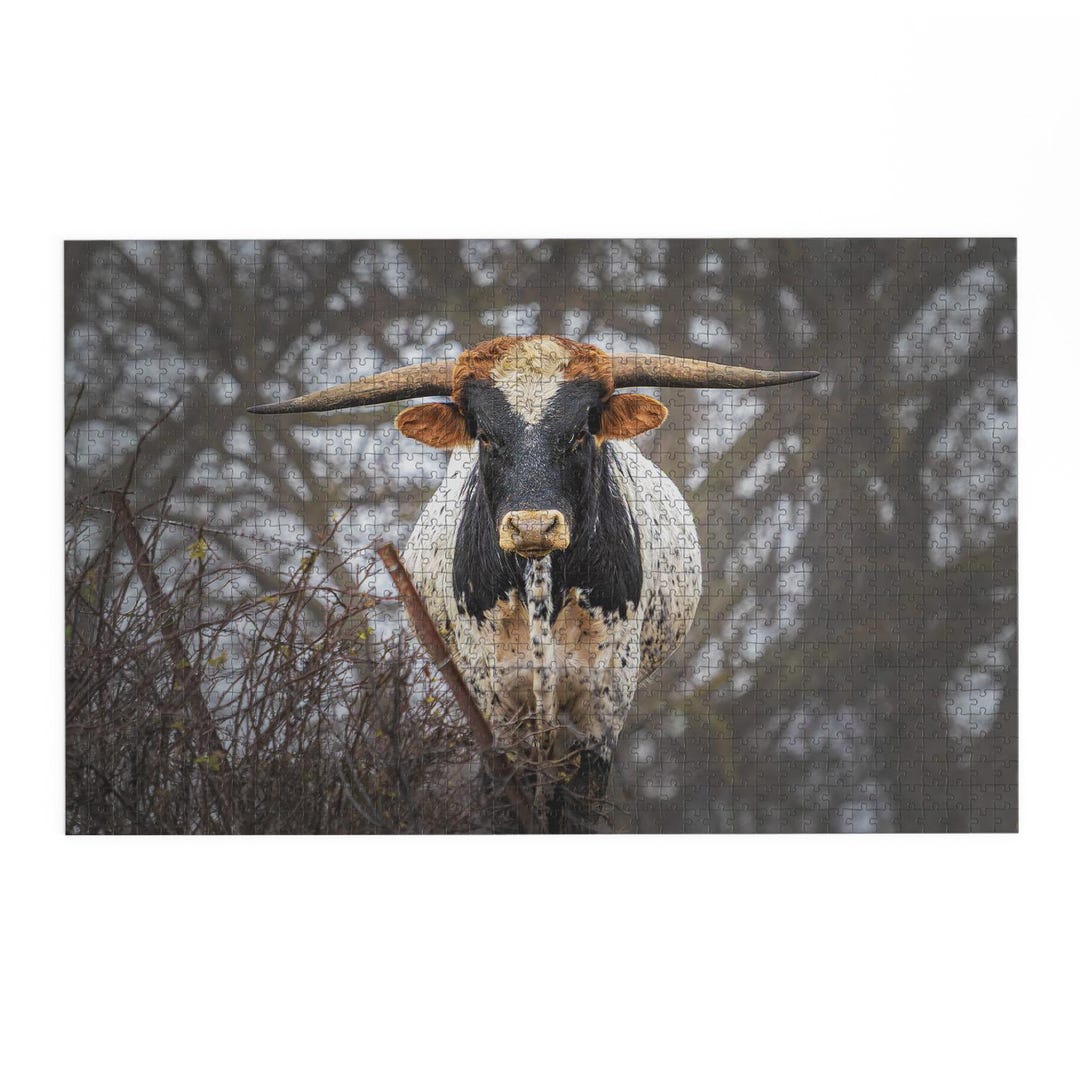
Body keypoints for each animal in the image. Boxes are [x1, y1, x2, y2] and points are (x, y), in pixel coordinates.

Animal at [249, 335, 817, 831]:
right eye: (486, 435)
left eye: (581, 431)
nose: (532, 527)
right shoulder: (495, 709)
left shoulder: (600, 713)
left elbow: (578, 815)